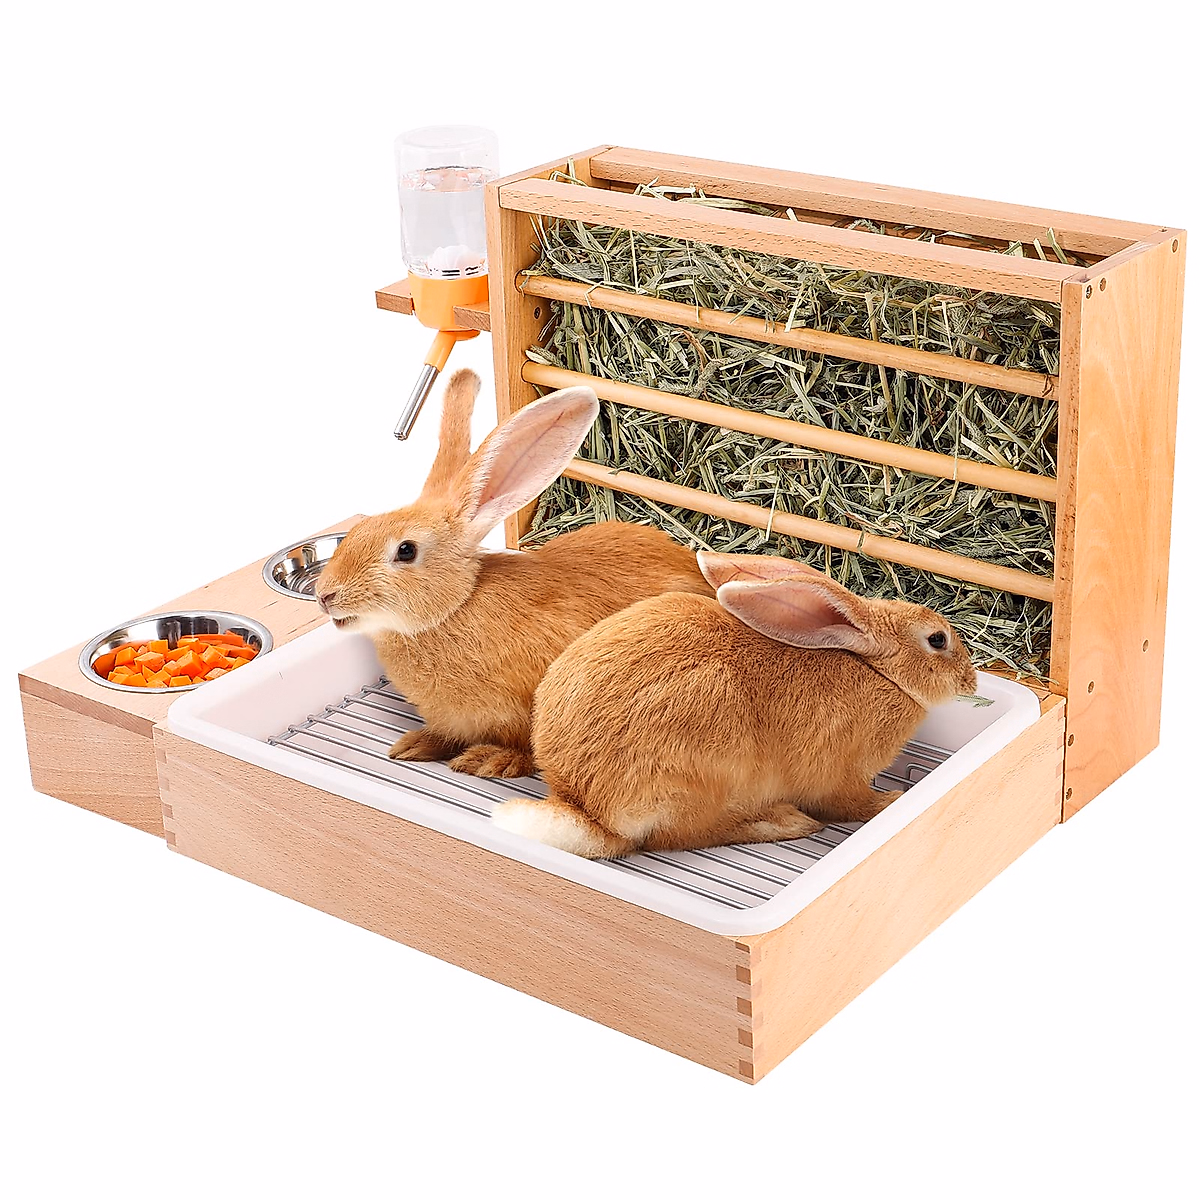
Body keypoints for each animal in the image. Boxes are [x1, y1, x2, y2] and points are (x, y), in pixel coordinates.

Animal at [314, 368, 711, 780]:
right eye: (358, 530)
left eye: (406, 551)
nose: (325, 596)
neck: (453, 610)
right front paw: (413, 745)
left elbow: (525, 749)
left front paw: (490, 760)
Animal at [493, 551, 978, 857]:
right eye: (938, 640)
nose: (971, 680)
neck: (880, 673)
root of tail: (586, 807)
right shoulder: (839, 775)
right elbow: (852, 804)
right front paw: (892, 799)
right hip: (708, 772)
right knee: (679, 837)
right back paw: (786, 823)